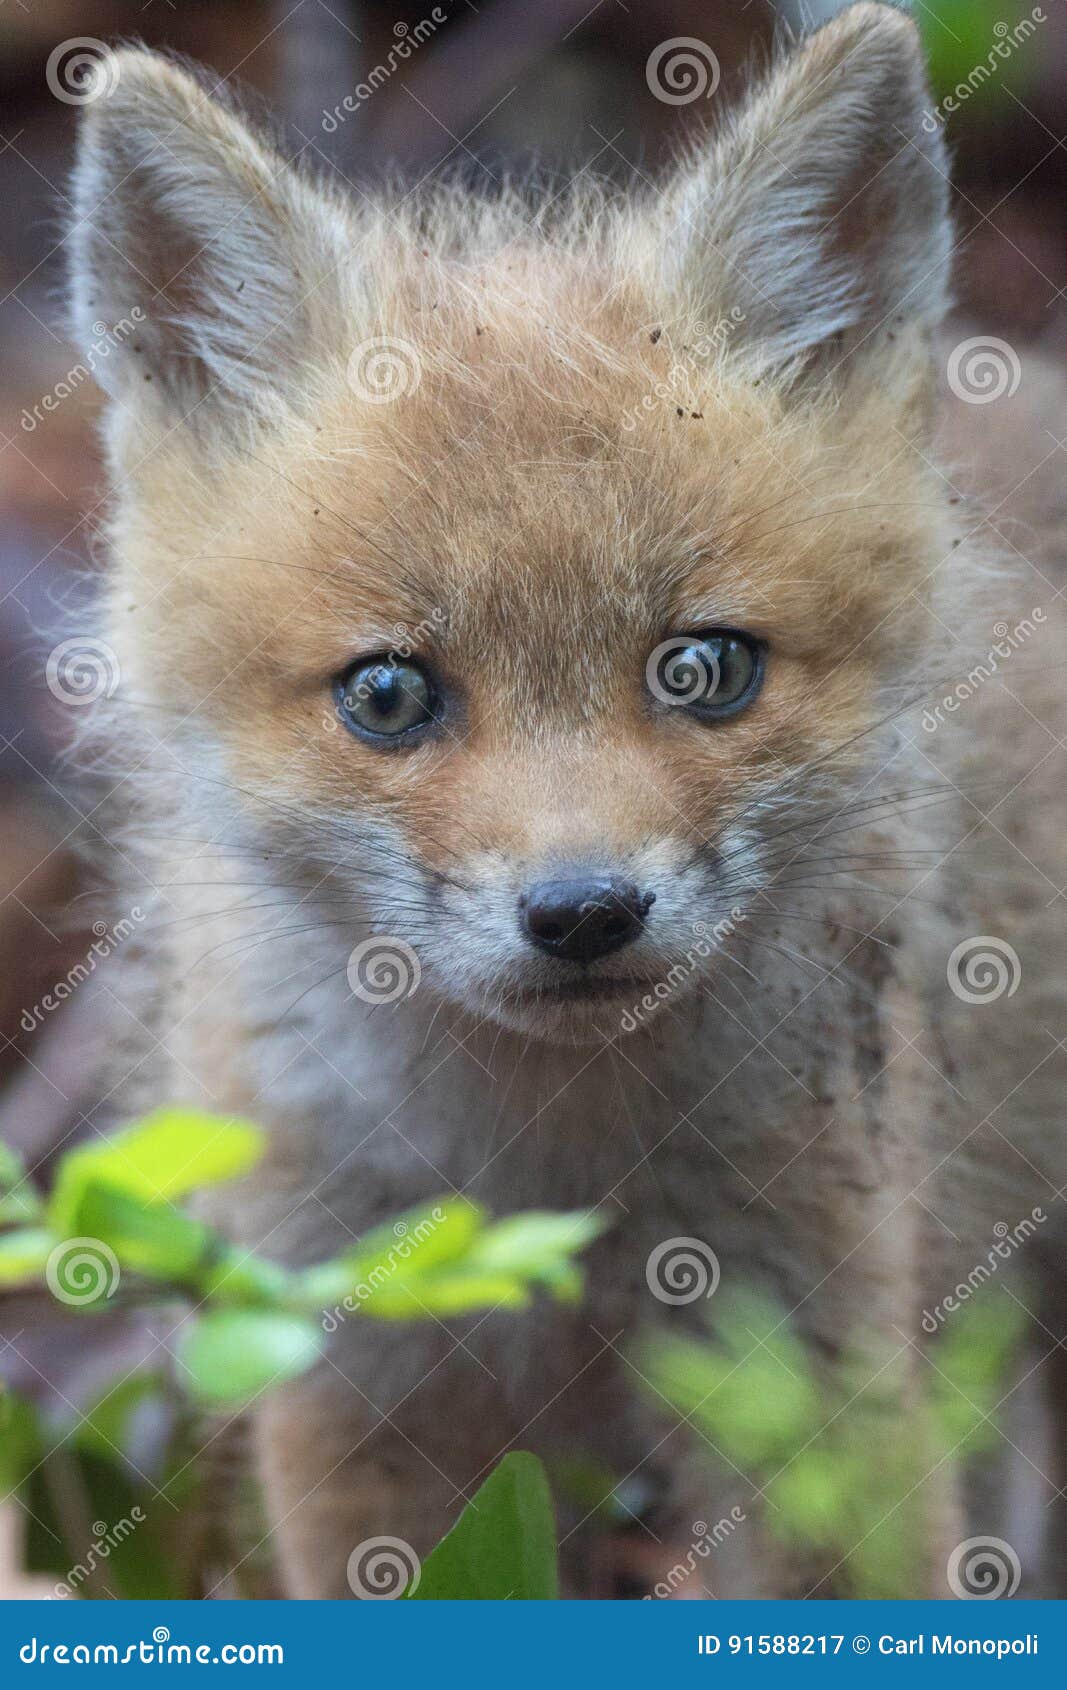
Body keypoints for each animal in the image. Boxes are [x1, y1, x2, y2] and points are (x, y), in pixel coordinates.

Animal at [67, 3, 1067, 1598]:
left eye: (702, 669)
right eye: (387, 694)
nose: (584, 913)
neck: (550, 1160)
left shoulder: (804, 1361)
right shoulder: (357, 1379)